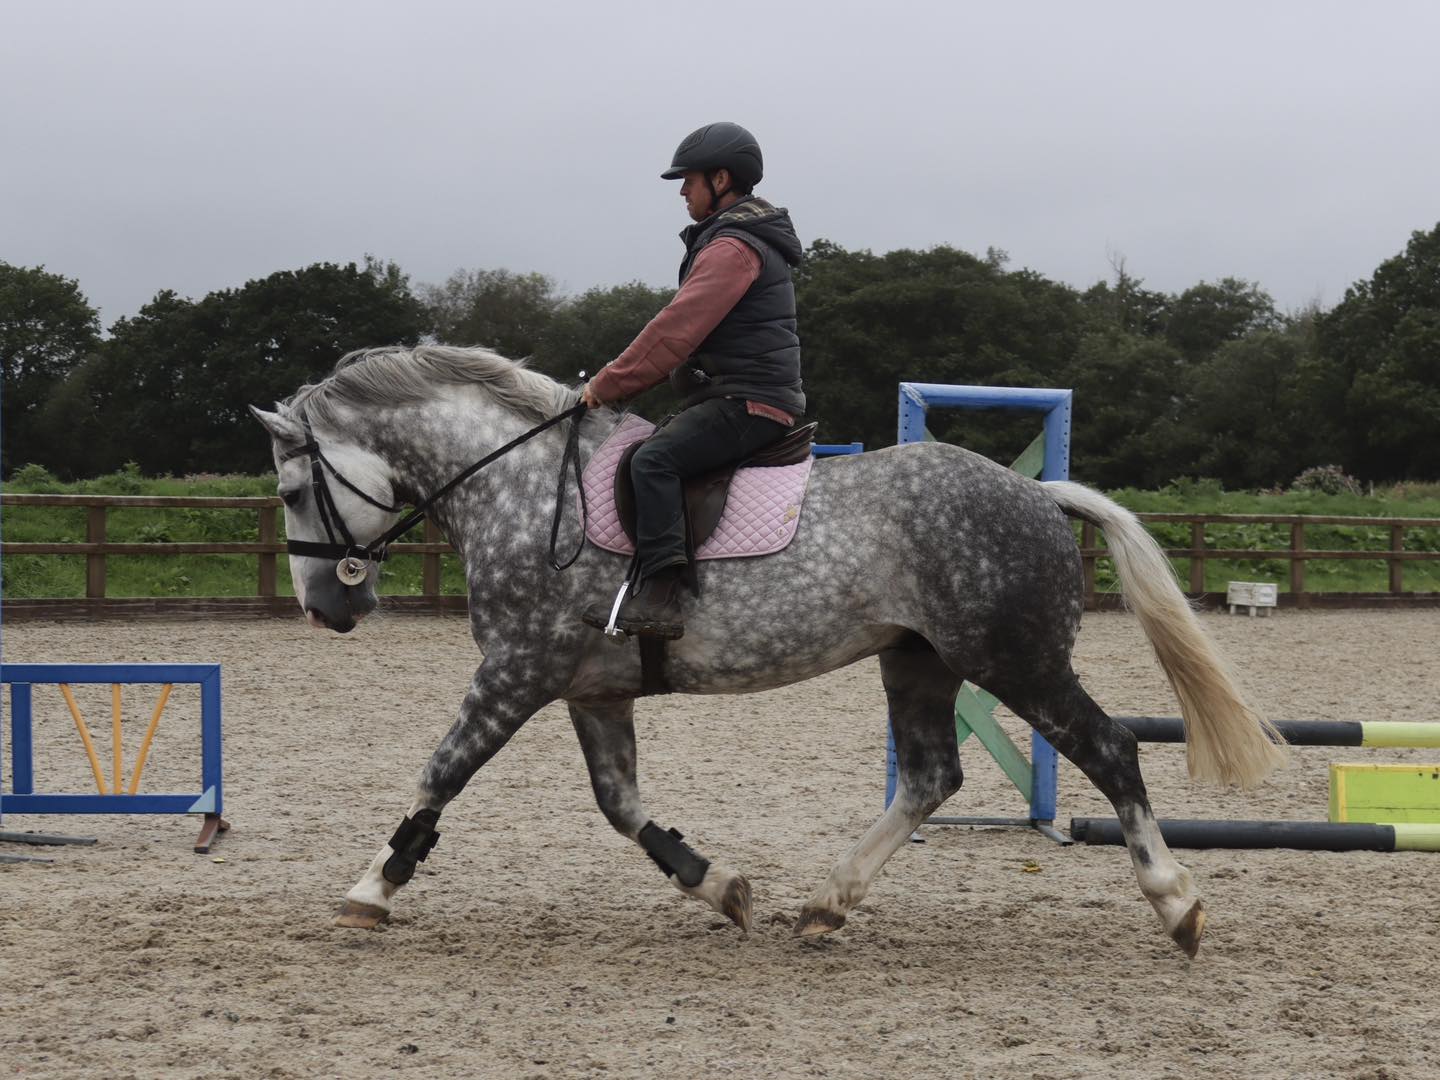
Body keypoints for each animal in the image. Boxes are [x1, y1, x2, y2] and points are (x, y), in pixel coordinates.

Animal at [252, 344, 1287, 957]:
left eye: (296, 492)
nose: (326, 608)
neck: (524, 484)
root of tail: (1038, 492)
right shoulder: (590, 690)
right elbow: (620, 806)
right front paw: (720, 886)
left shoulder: (516, 672)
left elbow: (441, 773)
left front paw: (372, 886)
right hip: (919, 660)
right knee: (930, 777)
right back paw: (826, 904)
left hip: (1015, 662)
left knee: (1110, 751)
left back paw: (1176, 903)